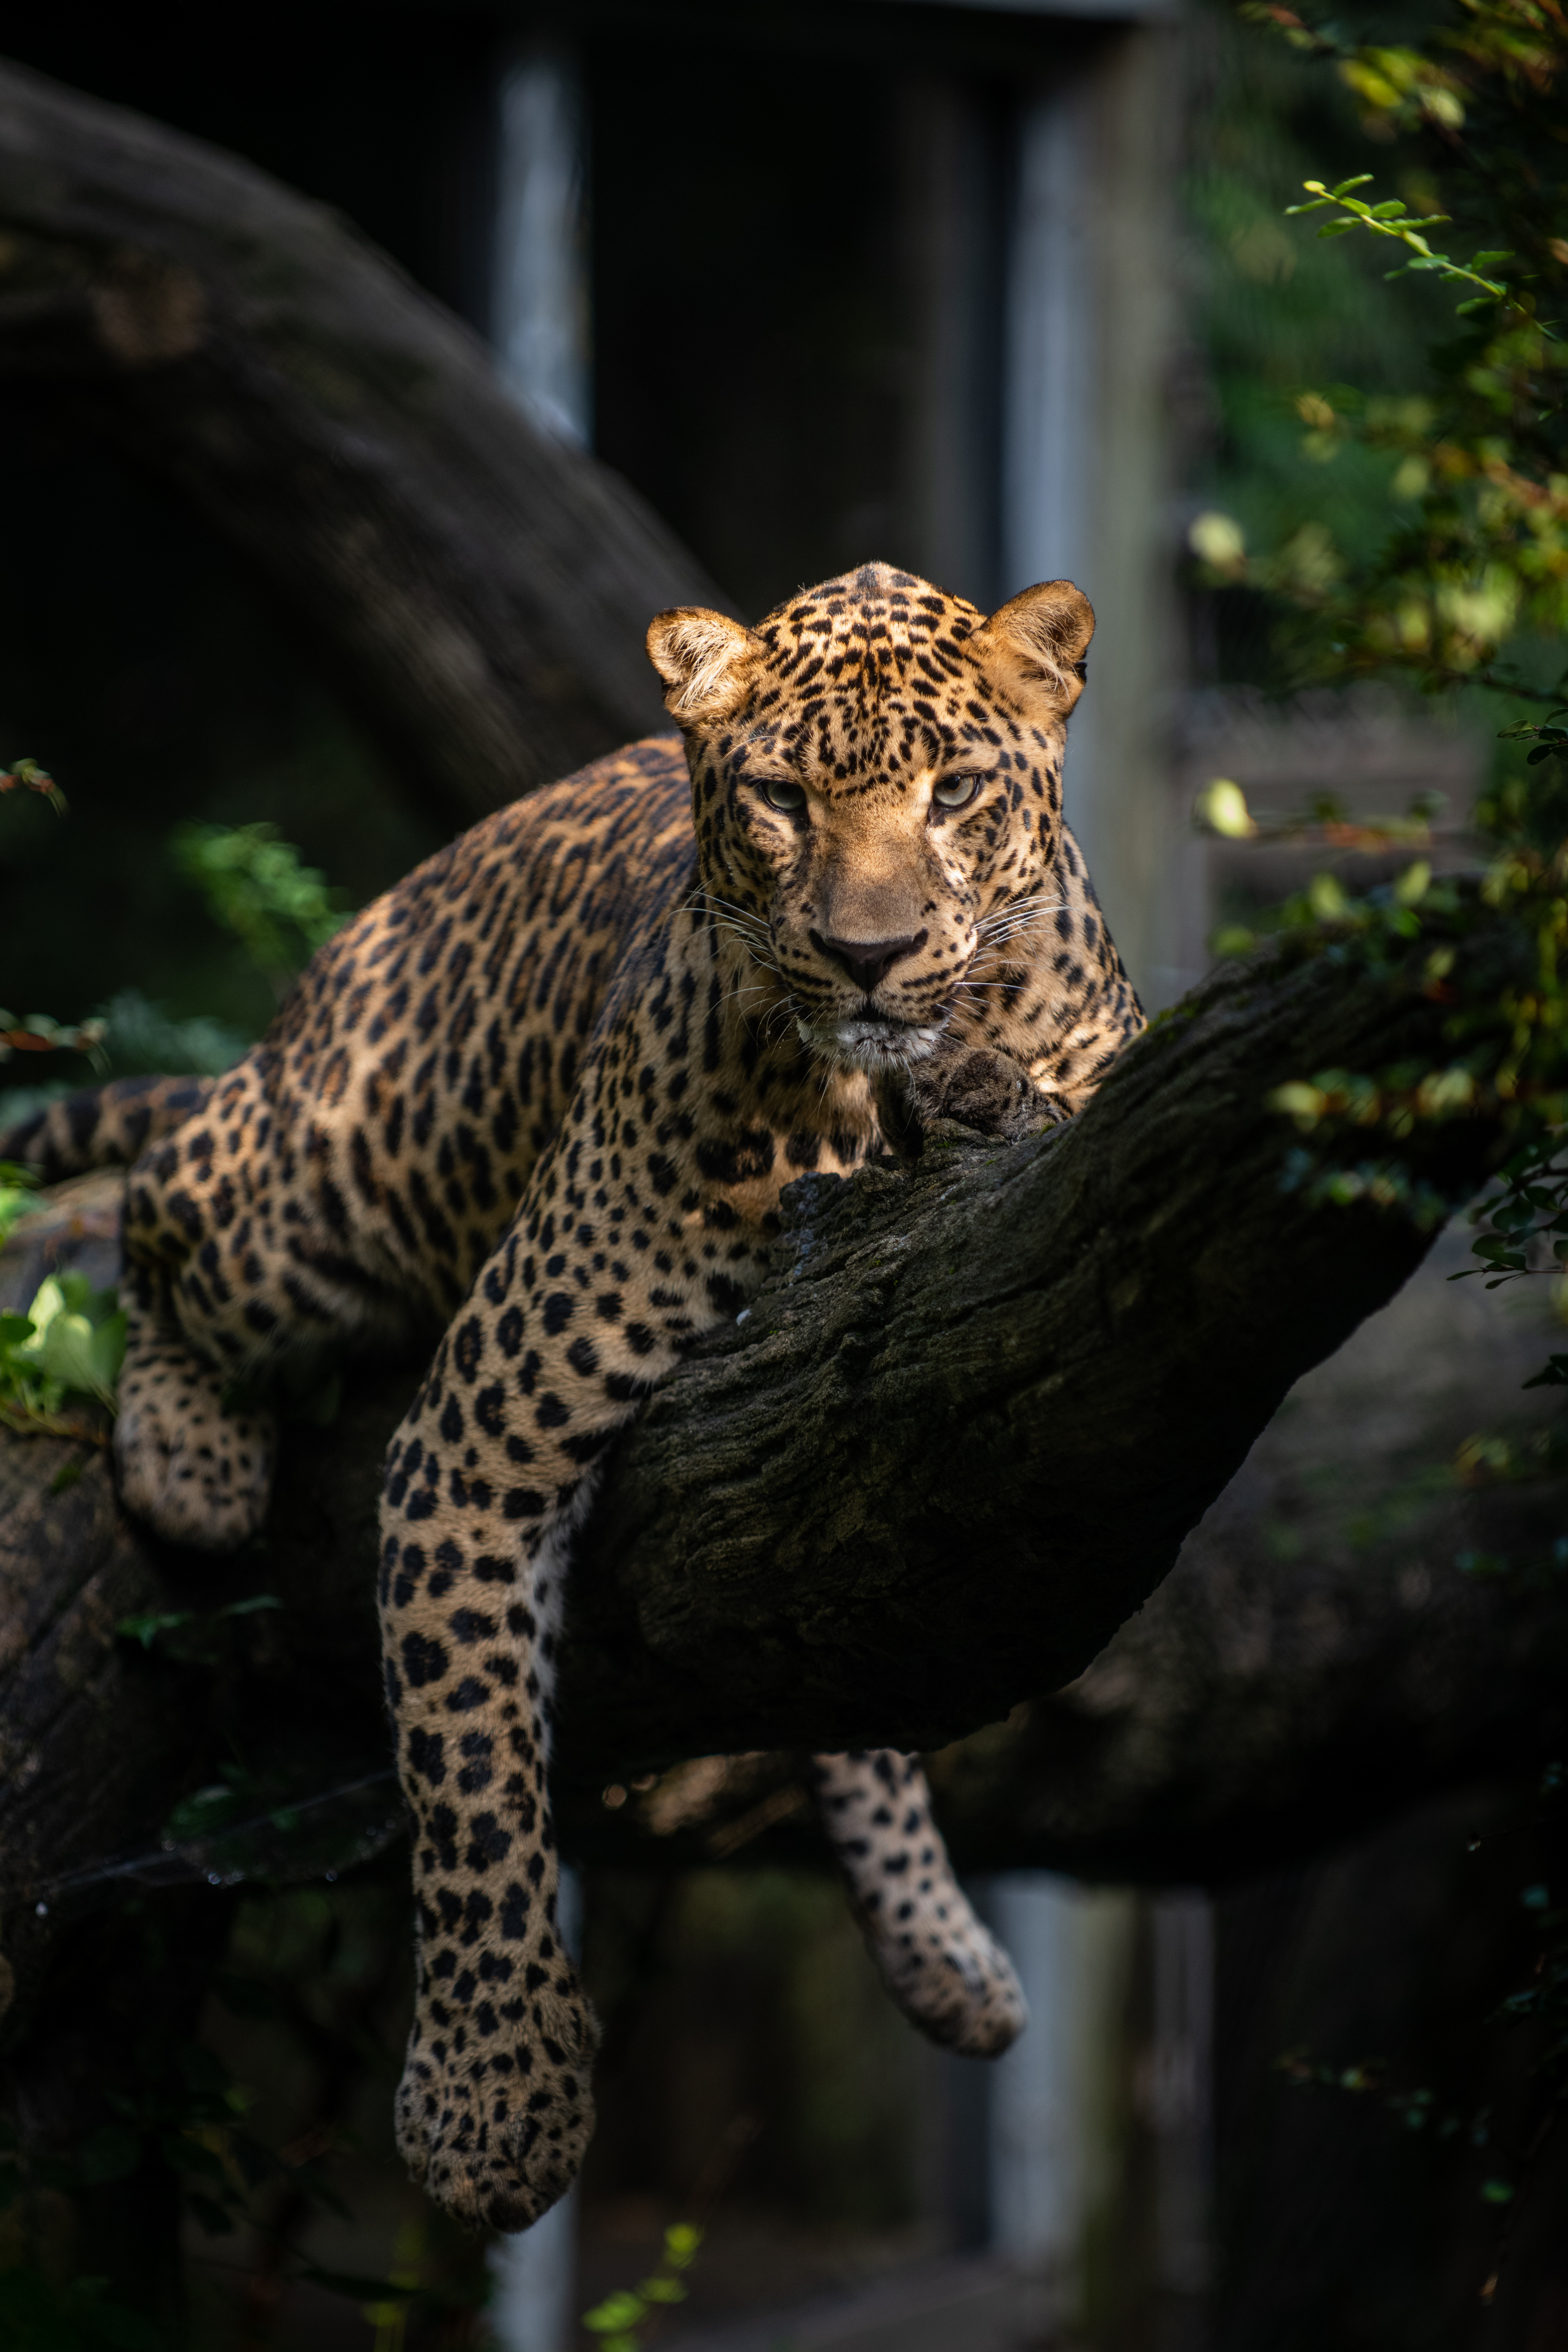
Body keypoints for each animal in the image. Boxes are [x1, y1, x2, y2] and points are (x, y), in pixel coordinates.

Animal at [3, 561, 1143, 2233]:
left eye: (954, 792)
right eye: (784, 799)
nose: (868, 956)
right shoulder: (473, 1447)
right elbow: (470, 1781)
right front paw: (496, 2110)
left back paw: (944, 1955)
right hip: (306, 1192)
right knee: (158, 1193)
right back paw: (189, 1450)